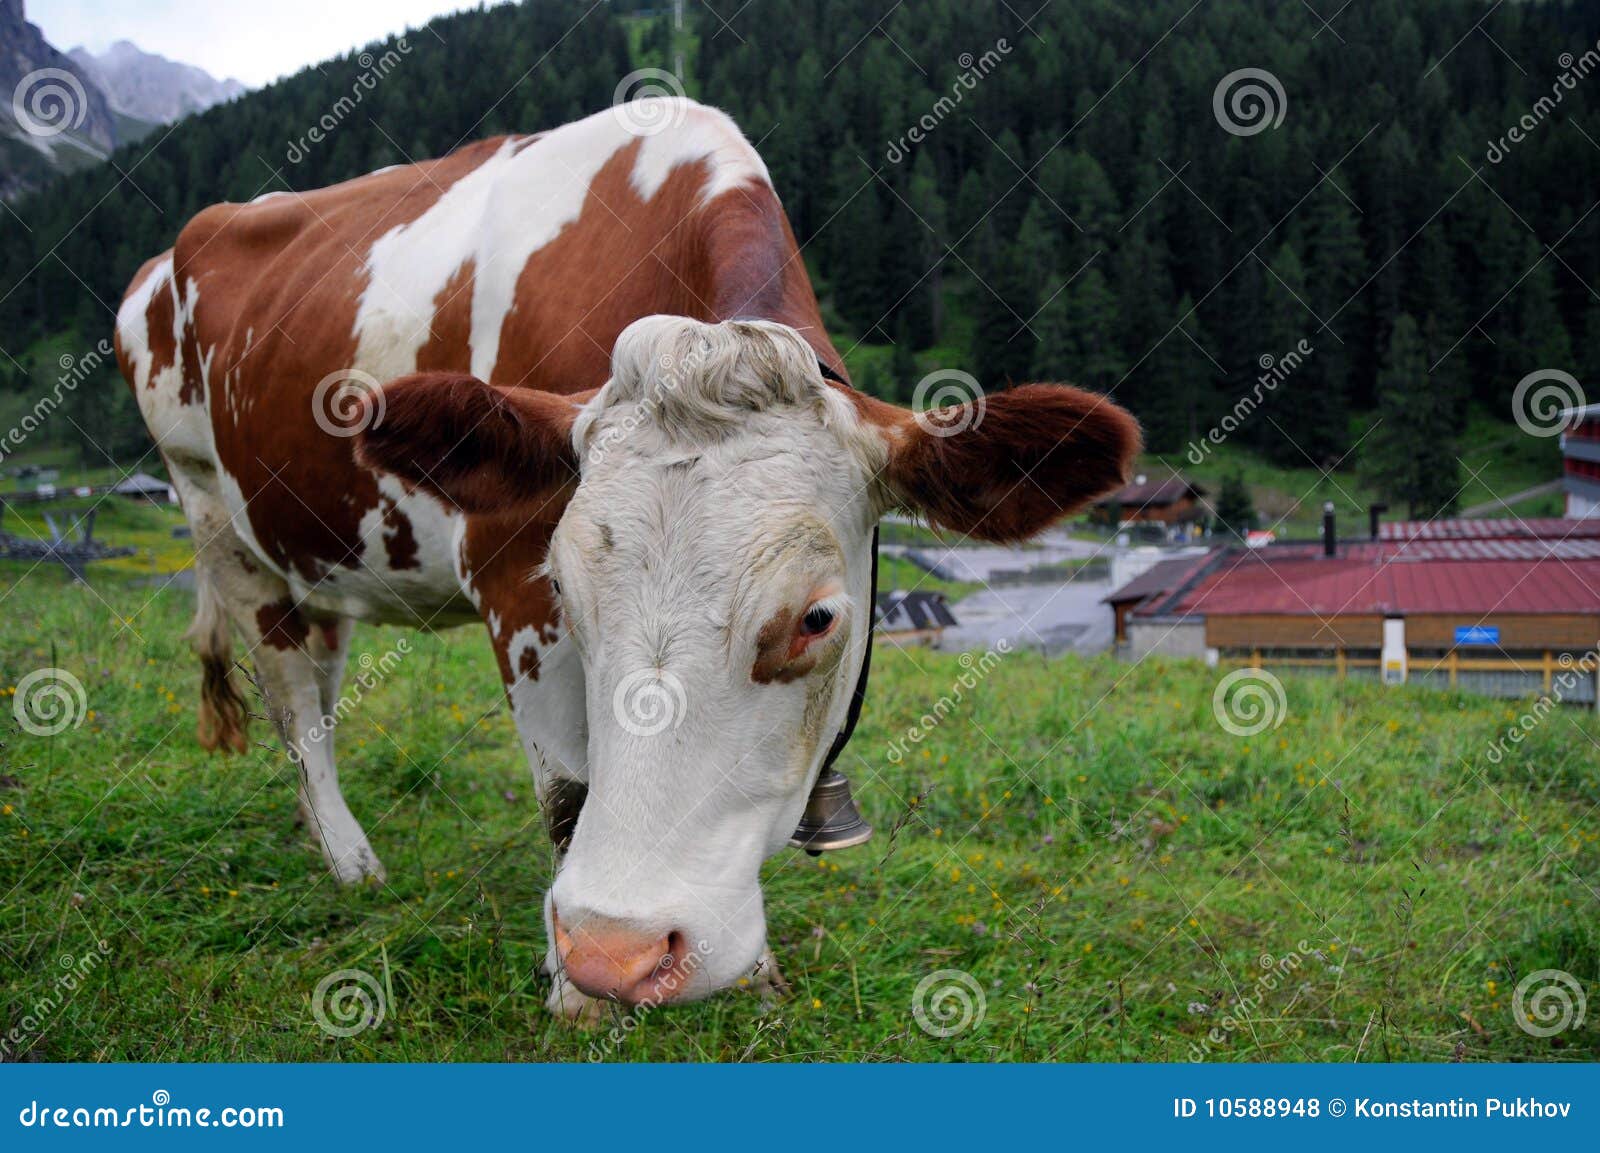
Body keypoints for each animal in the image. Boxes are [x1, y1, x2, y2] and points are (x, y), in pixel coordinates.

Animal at [114, 97, 1139, 1019]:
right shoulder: (507, 570)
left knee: (317, 685)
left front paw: (746, 971)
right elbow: (569, 794)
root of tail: (173, 251)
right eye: (566, 589)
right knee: (293, 701)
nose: (628, 948)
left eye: (816, 617)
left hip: (314, 549)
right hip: (212, 510)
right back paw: (351, 858)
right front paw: (578, 984)